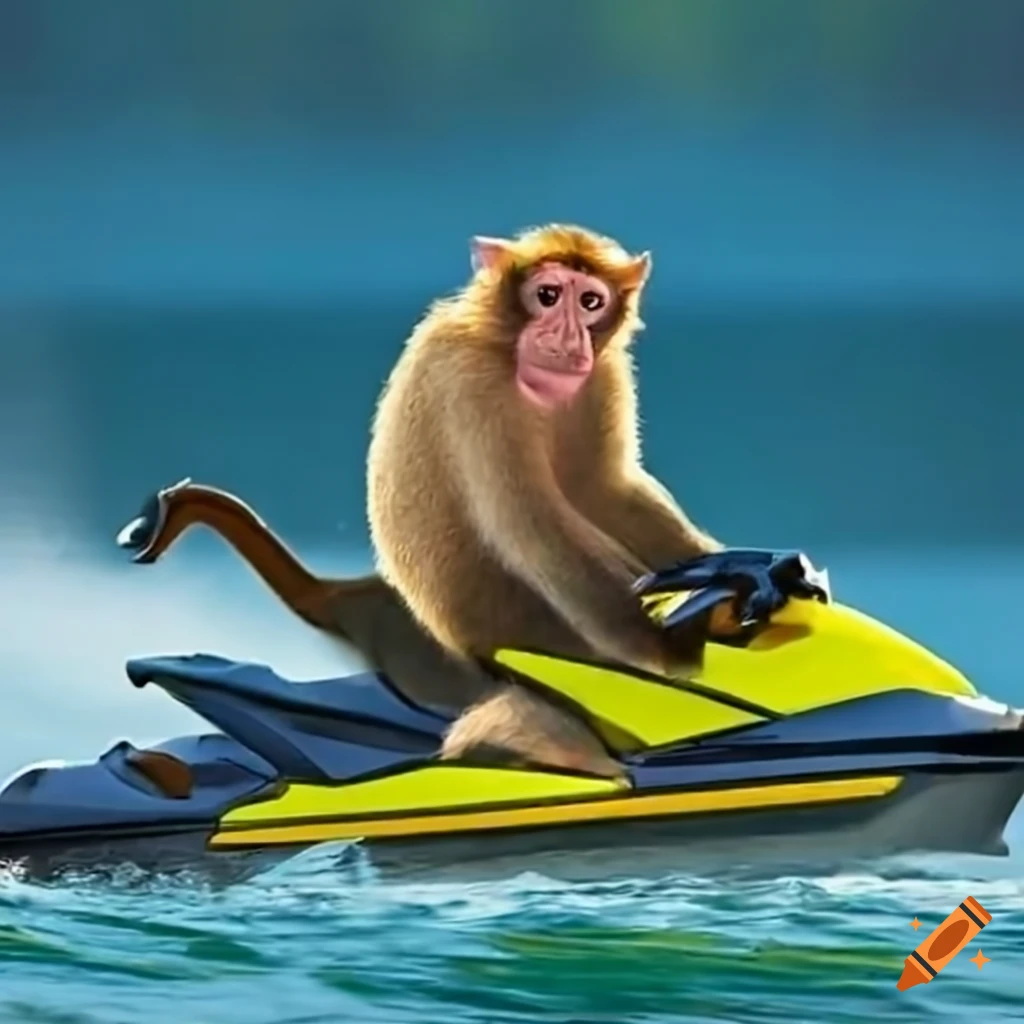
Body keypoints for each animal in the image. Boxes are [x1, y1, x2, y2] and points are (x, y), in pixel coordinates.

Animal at [367, 224, 733, 777]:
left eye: (589, 302)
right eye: (547, 296)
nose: (564, 338)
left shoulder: (603, 374)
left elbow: (605, 491)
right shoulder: (473, 384)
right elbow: (532, 525)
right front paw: (671, 651)